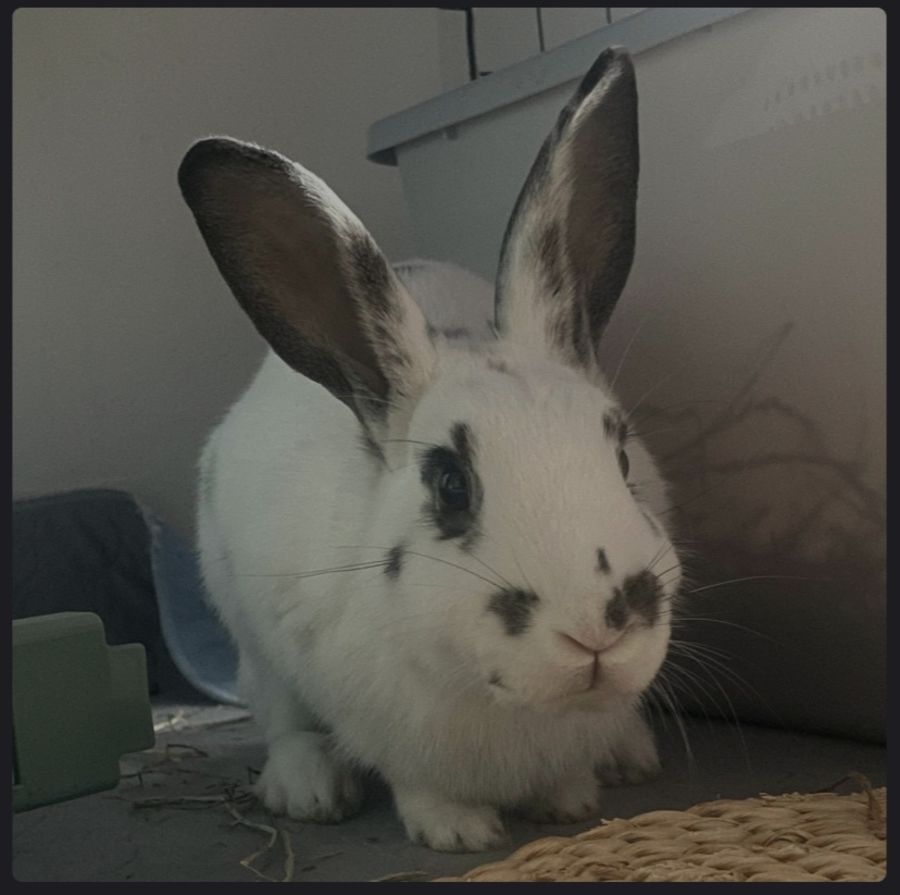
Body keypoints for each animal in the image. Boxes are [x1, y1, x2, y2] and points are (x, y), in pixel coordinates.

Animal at [179, 46, 681, 853]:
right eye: (450, 484)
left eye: (623, 459)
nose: (598, 628)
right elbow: (418, 782)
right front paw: (458, 831)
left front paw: (569, 799)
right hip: (249, 637)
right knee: (280, 717)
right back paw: (308, 789)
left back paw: (631, 752)